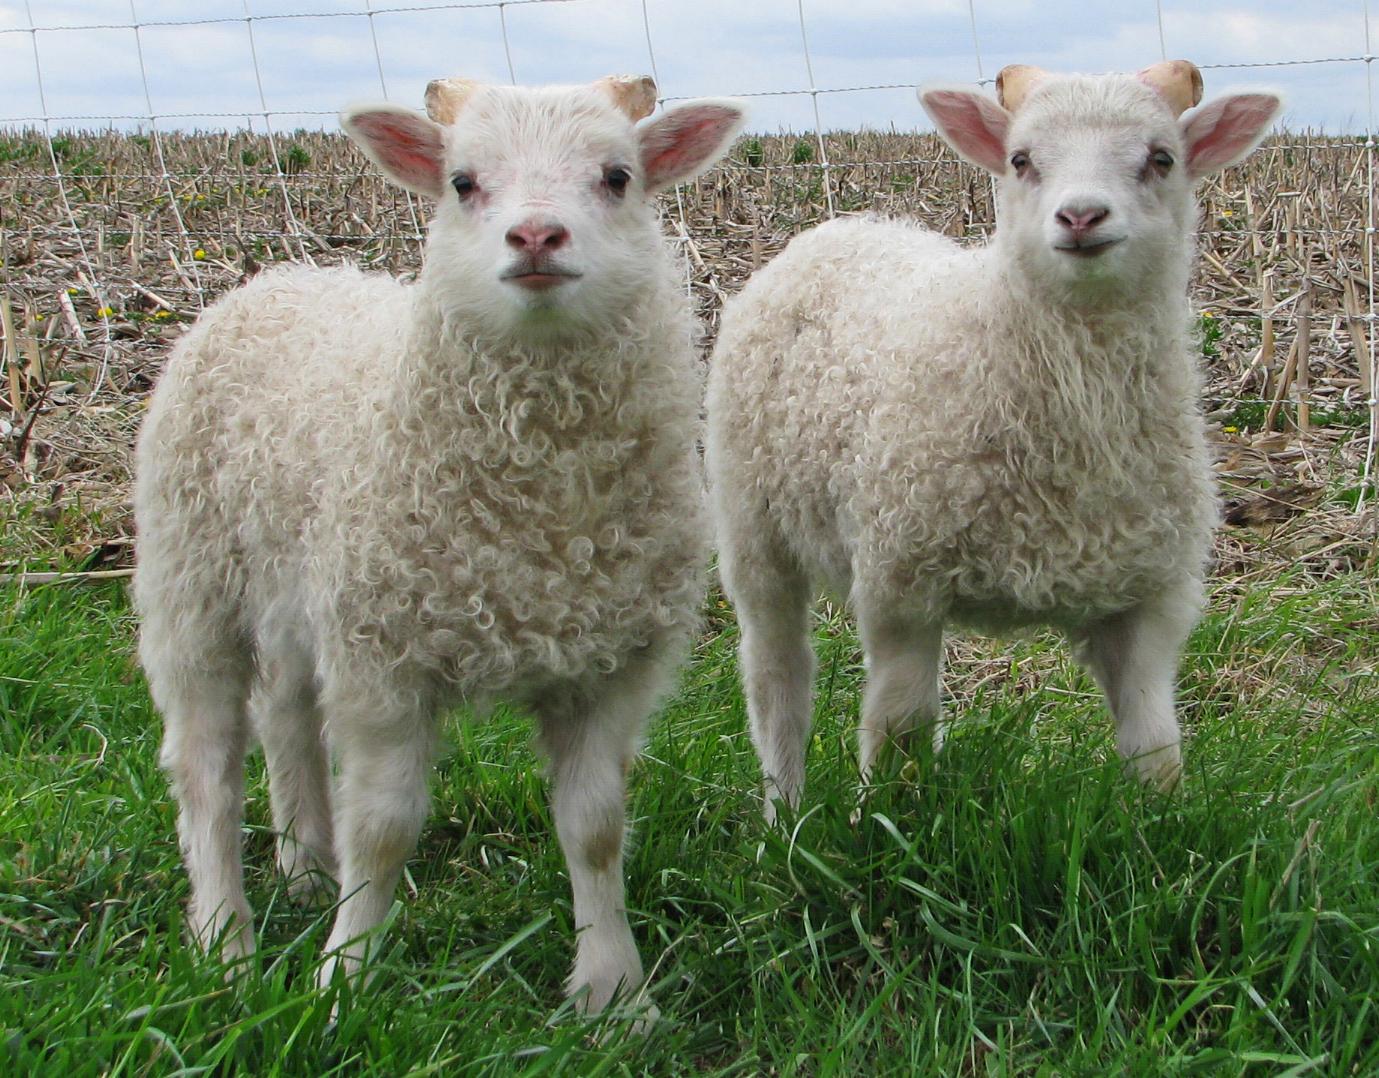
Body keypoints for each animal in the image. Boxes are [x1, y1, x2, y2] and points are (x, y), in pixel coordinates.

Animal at [133, 74, 744, 1017]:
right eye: (462, 183)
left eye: (617, 177)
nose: (536, 236)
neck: (538, 514)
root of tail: (277, 278)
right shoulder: (384, 657)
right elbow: (383, 828)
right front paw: (344, 979)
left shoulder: (608, 665)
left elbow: (596, 830)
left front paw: (614, 992)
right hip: (191, 579)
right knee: (204, 766)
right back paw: (224, 945)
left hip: (299, 588)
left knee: (285, 714)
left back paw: (303, 867)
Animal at [704, 62, 1281, 820]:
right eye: (1021, 160)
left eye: (1162, 159)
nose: (1081, 217)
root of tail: (842, 231)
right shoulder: (899, 583)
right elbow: (898, 736)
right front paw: (886, 830)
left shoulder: (1151, 598)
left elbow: (1155, 749)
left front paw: (1155, 834)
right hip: (752, 527)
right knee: (777, 681)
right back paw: (784, 815)